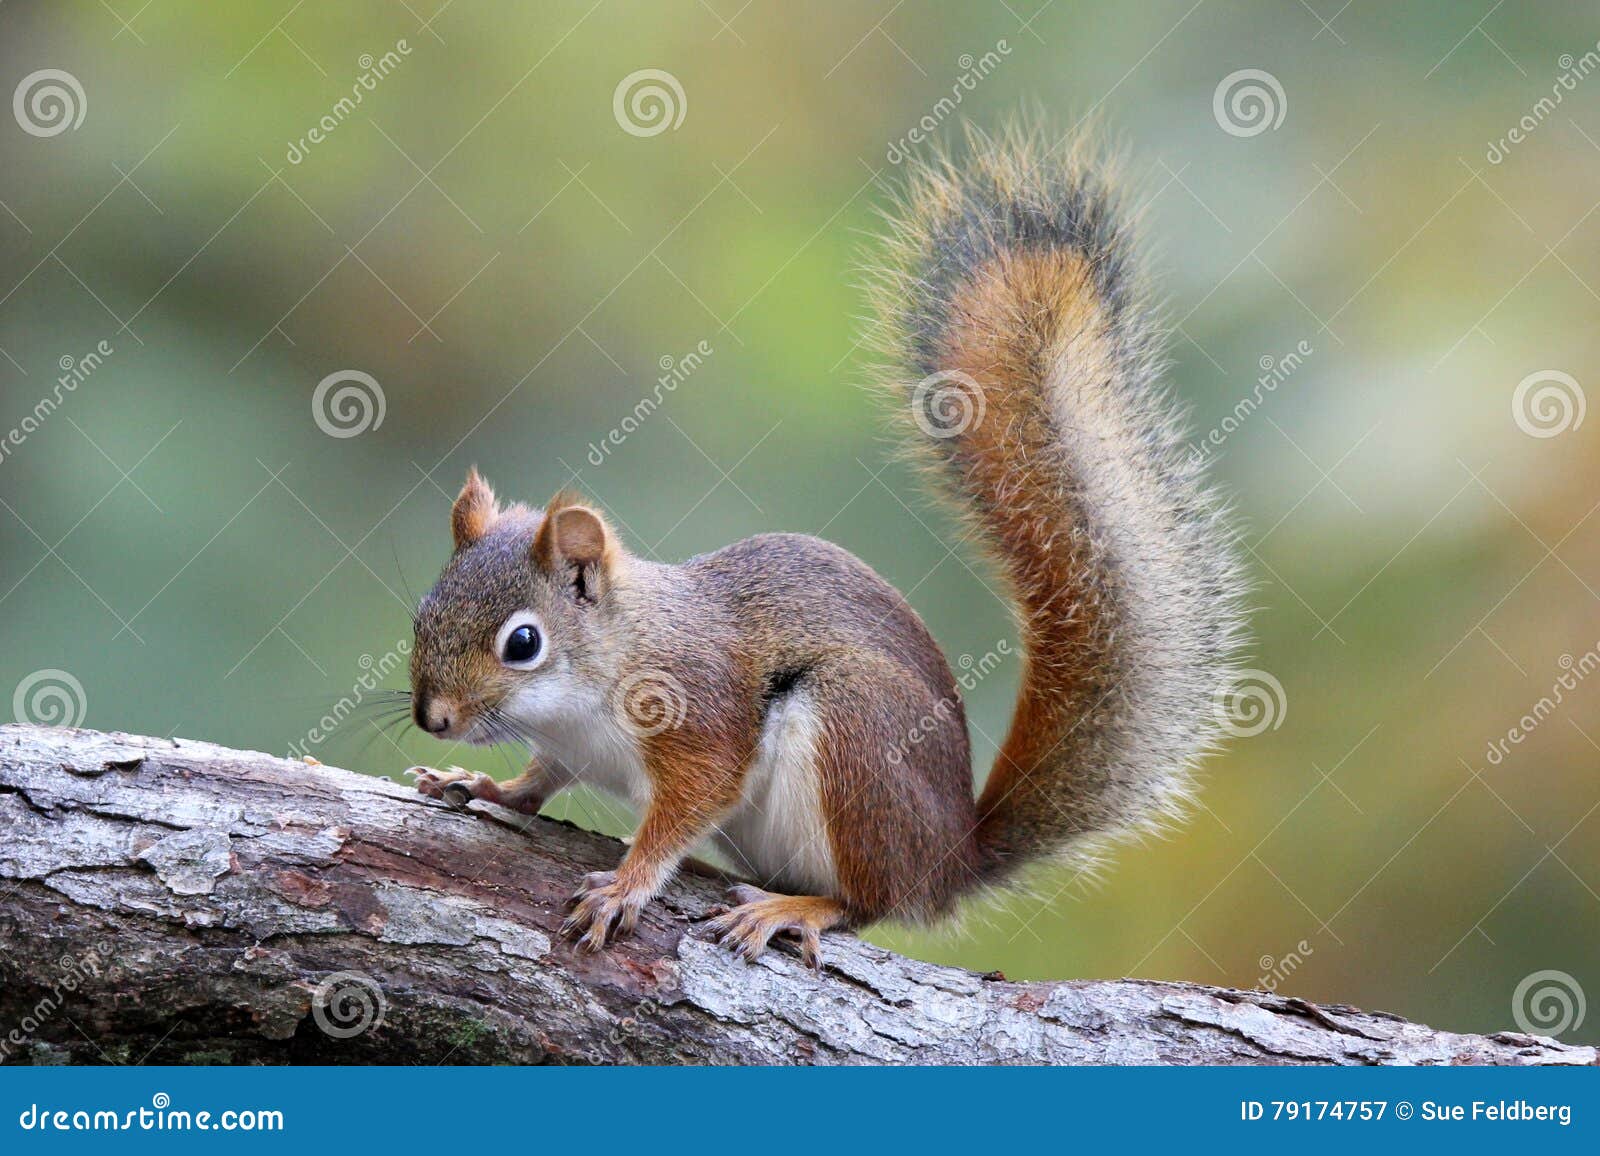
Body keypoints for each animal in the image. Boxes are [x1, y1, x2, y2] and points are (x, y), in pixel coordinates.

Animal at [406, 125, 1246, 968]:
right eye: (422, 614)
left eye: (523, 643)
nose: (432, 718)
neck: (599, 674)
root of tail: (951, 860)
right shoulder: (571, 747)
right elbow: (540, 779)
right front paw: (481, 786)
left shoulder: (697, 717)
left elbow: (684, 809)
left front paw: (627, 885)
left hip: (853, 734)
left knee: (870, 901)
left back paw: (796, 906)